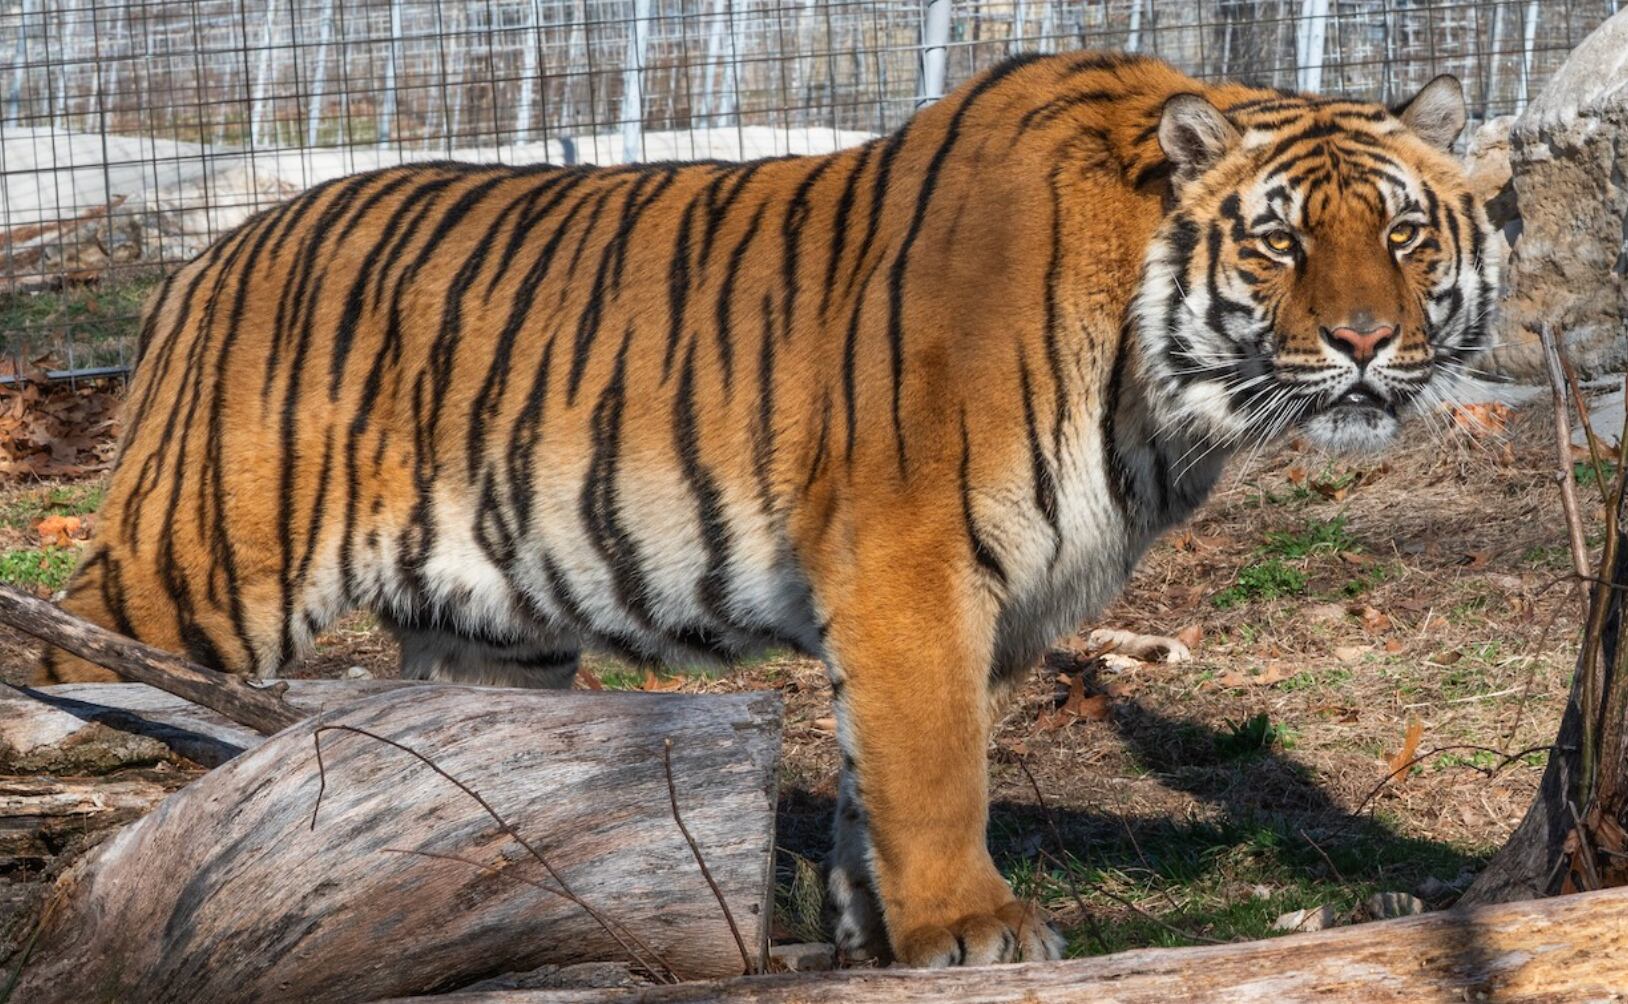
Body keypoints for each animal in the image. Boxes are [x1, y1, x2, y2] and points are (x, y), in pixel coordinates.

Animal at [32, 51, 1498, 967]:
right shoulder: (909, 555)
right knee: (68, 677)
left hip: (491, 632)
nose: (1366, 341)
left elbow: (883, 765)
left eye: (1403, 233)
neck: (1165, 397)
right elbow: (933, 763)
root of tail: (203, 262)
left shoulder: (981, 597)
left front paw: (876, 934)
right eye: (1281, 240)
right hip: (200, 569)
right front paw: (970, 924)